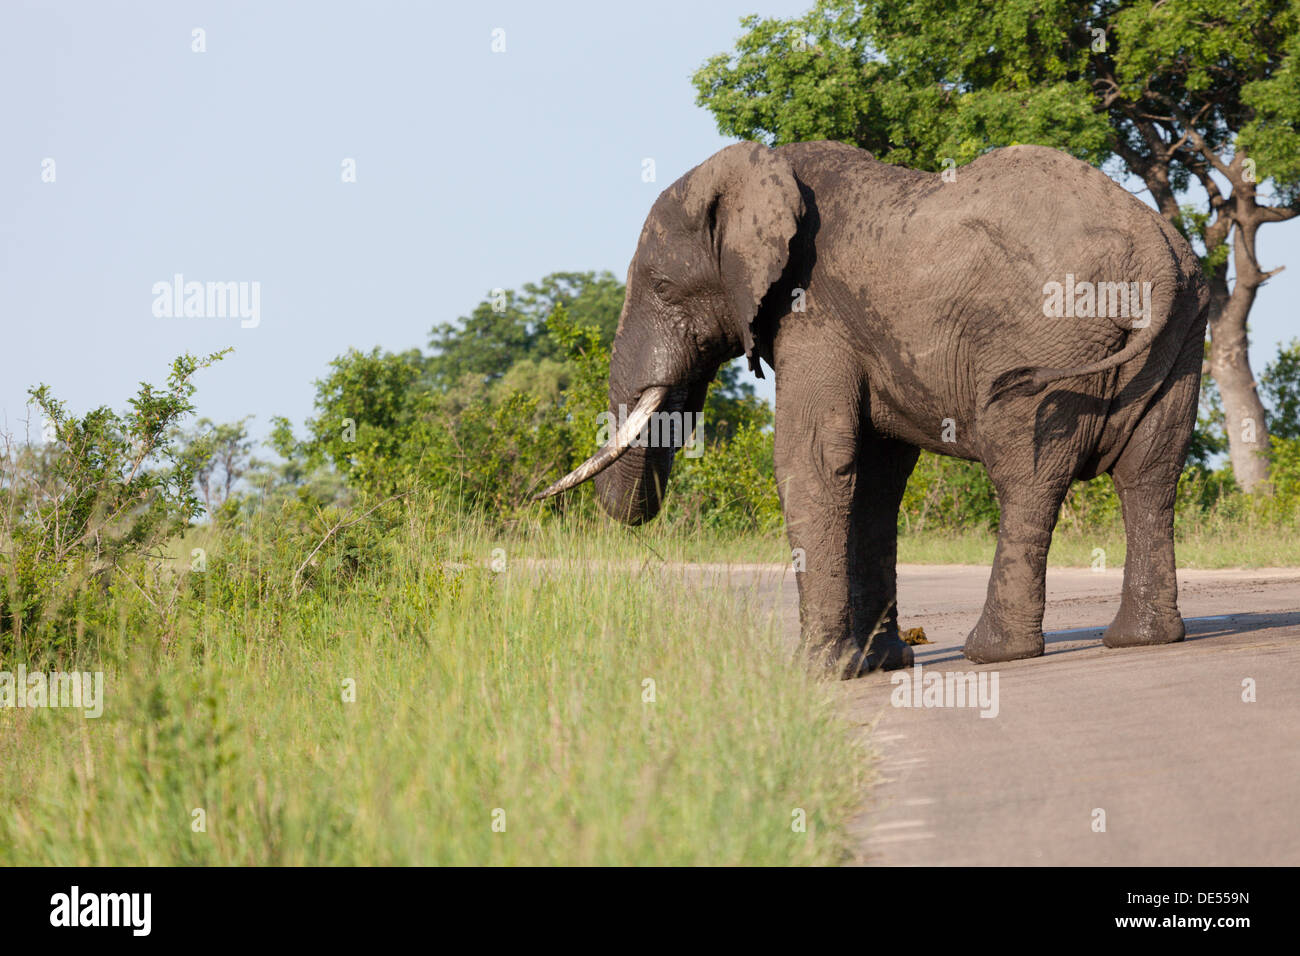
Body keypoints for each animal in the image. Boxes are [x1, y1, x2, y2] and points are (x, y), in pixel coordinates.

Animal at [537, 139, 1209, 678]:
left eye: (661, 286)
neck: (763, 166)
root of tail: (1154, 247)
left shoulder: (812, 314)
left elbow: (813, 460)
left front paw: (819, 673)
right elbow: (877, 477)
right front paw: (879, 663)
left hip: (1047, 341)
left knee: (1028, 475)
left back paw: (993, 653)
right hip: (1182, 336)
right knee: (1151, 474)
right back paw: (1142, 639)